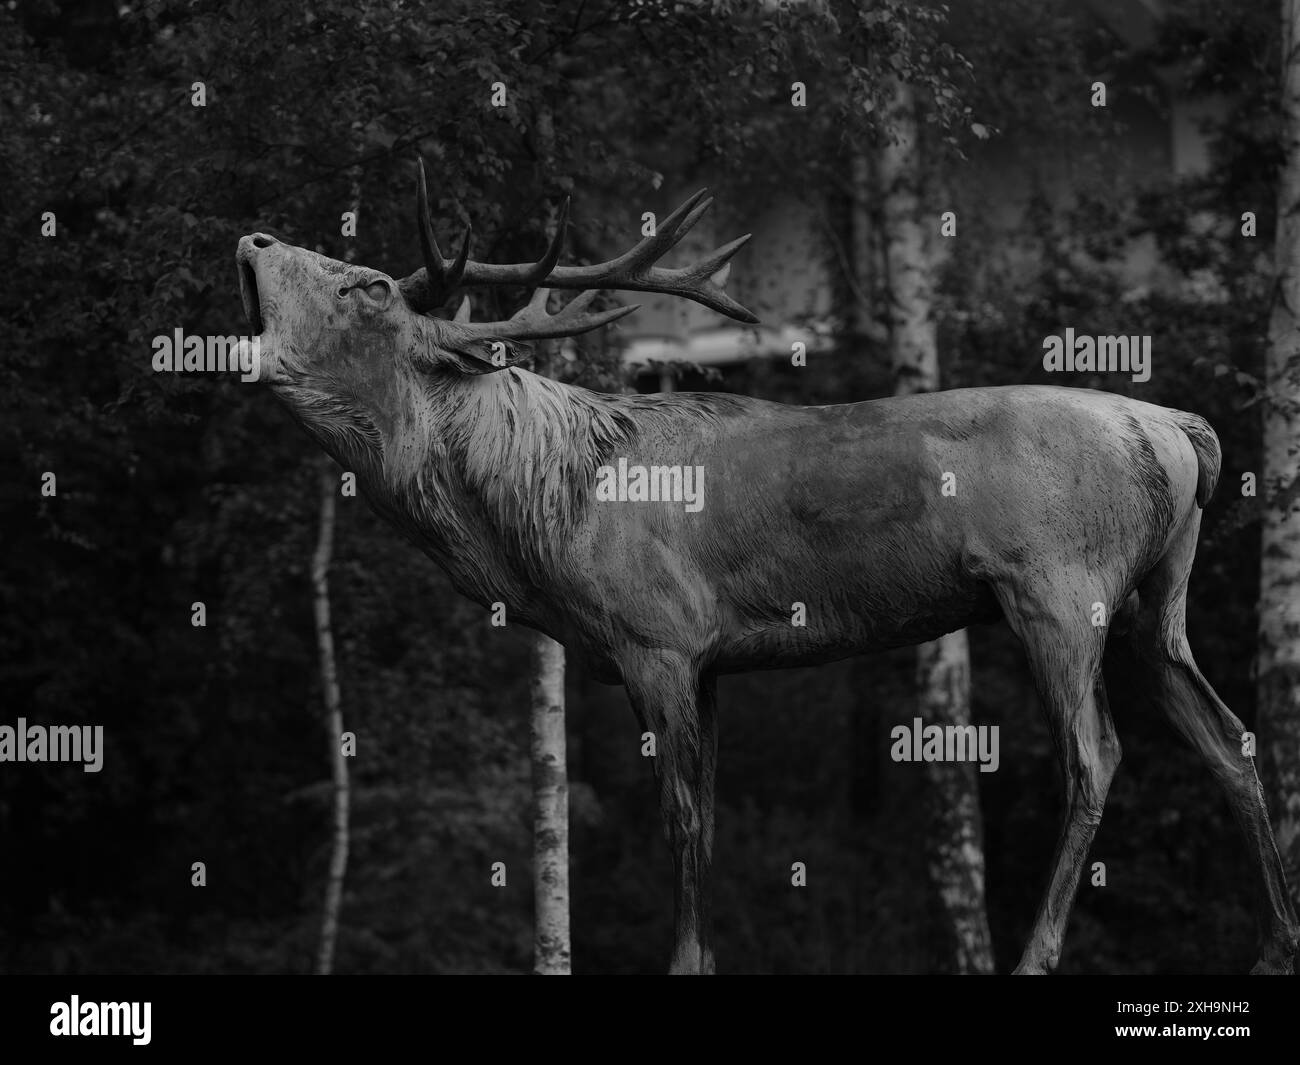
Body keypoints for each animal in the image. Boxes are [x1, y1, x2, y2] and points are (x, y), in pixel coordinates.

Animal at [236, 160, 1298, 974]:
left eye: (368, 285)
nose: (251, 238)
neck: (539, 518)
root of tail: (1186, 433)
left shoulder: (656, 638)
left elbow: (681, 820)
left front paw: (682, 960)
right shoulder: (712, 660)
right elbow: (705, 813)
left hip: (1058, 589)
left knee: (1098, 753)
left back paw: (1040, 952)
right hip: (1158, 600)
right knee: (1229, 736)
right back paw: (1273, 943)